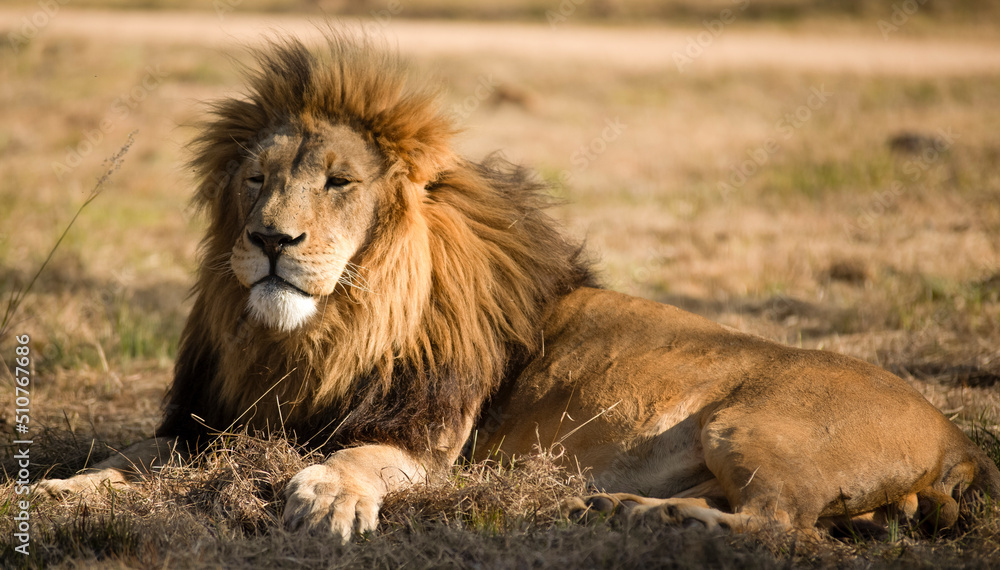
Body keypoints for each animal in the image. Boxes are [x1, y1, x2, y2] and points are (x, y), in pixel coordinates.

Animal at [36, 32, 1000, 541]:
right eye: (254, 181)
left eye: (339, 183)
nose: (271, 240)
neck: (319, 332)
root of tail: (958, 435)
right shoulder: (216, 418)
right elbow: (133, 453)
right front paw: (60, 492)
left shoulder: (429, 439)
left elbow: (360, 457)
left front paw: (328, 498)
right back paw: (615, 504)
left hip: (753, 423)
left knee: (777, 522)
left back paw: (637, 516)